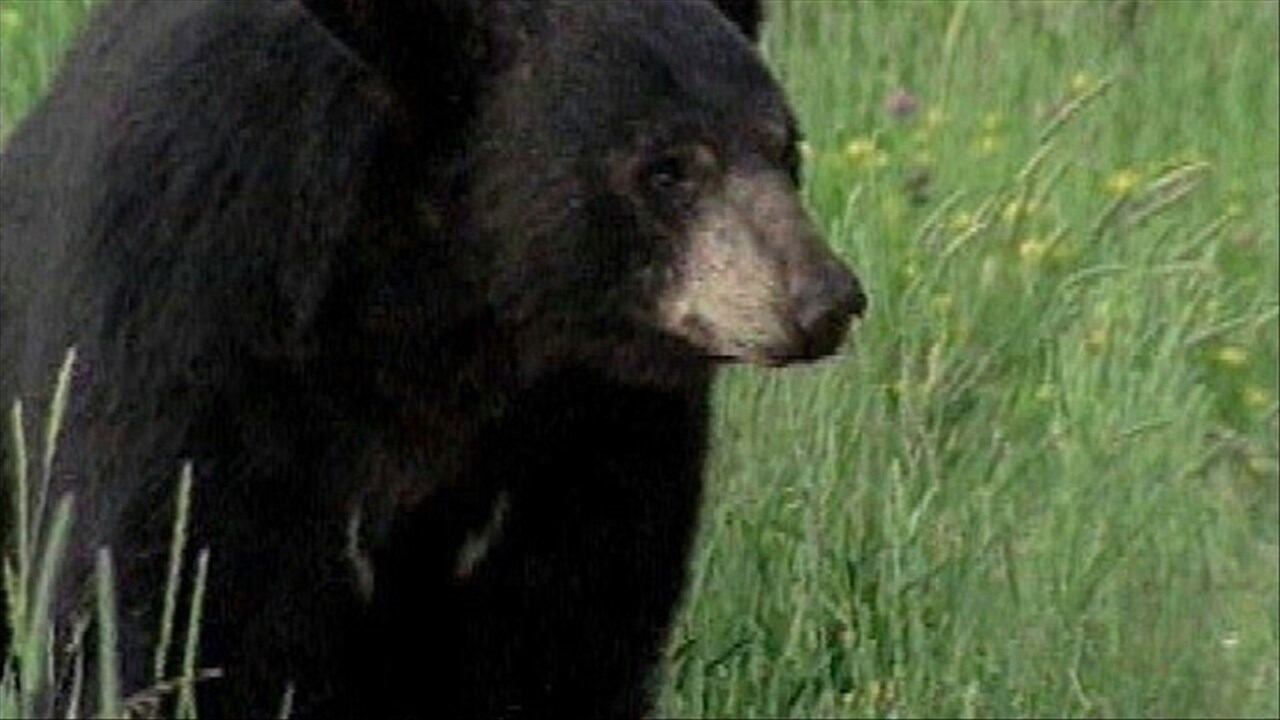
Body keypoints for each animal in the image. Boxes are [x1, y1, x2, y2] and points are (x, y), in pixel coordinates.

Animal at [0, 0, 866, 717]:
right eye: (667, 168)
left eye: (786, 147)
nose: (827, 300)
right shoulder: (194, 305)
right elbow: (153, 578)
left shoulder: (598, 420)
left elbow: (575, 609)